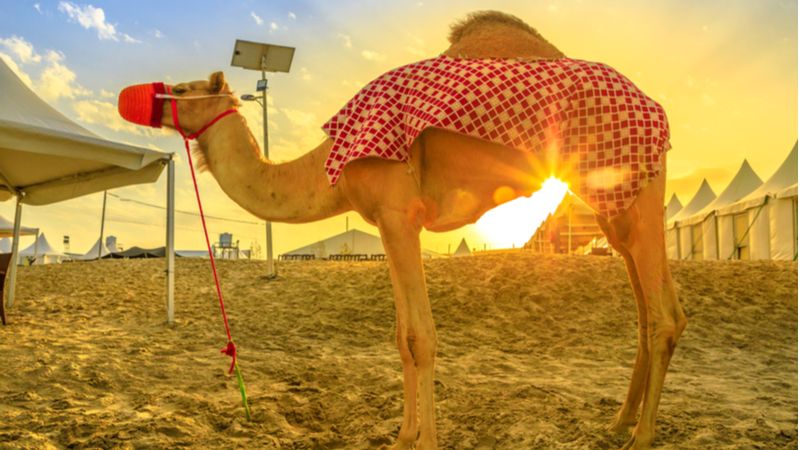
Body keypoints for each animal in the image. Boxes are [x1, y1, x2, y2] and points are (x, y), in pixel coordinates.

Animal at [120, 11, 687, 450]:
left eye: (183, 89)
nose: (135, 97)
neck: (328, 169)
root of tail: (657, 108)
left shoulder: (398, 215)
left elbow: (421, 336)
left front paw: (426, 440)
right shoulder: (388, 223)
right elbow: (401, 337)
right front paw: (402, 436)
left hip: (636, 191)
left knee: (664, 317)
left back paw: (641, 437)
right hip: (615, 206)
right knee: (647, 312)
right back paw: (618, 423)